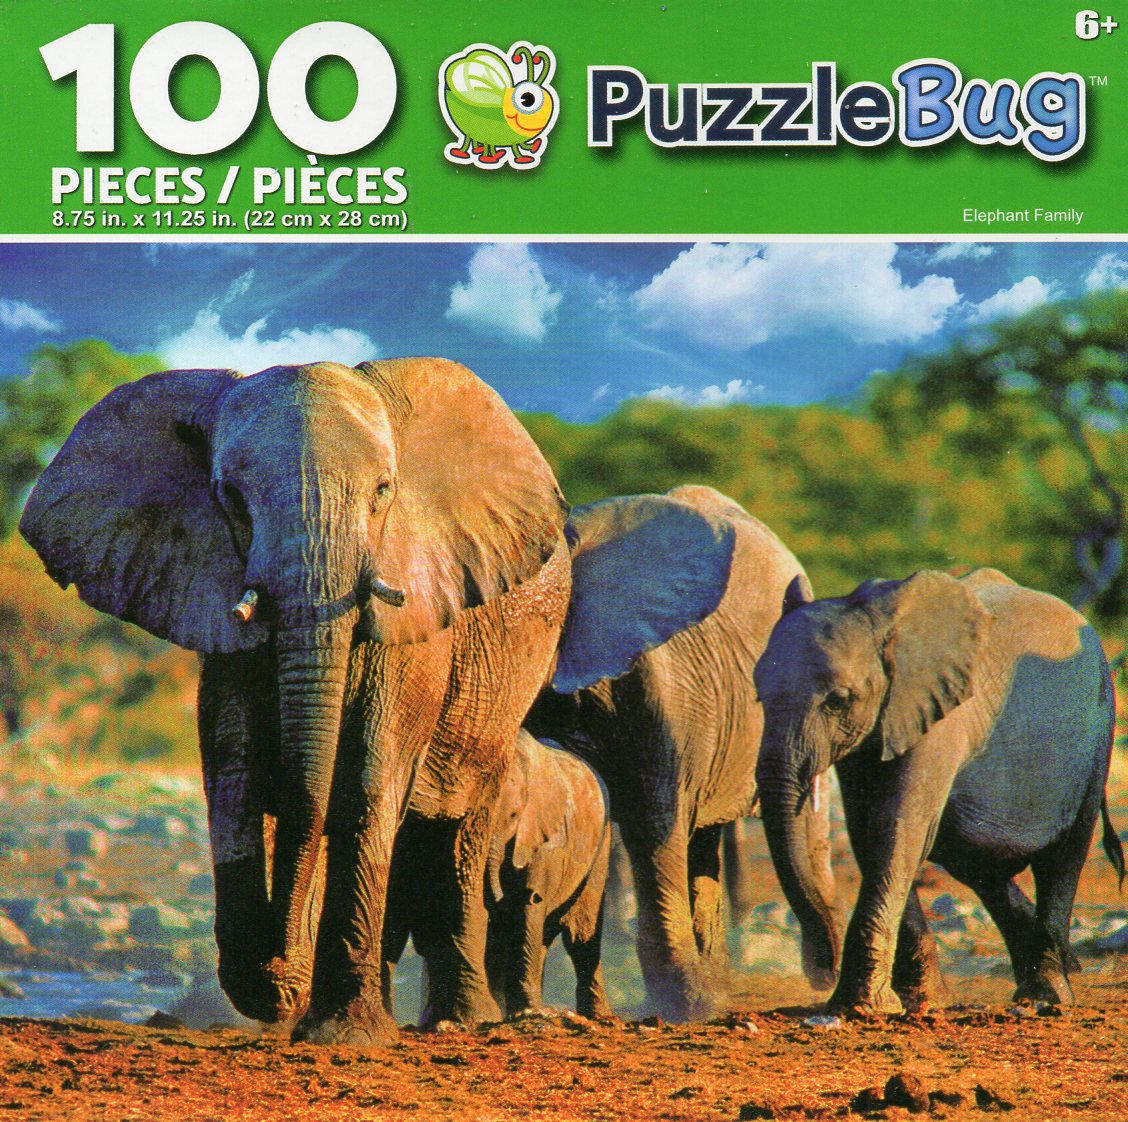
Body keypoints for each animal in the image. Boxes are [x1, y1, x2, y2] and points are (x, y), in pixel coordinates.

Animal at [19, 357, 571, 1045]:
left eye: (383, 491)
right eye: (230, 498)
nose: (283, 972)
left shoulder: (417, 612)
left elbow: (366, 780)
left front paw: (342, 1034)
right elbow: (232, 769)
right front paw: (276, 991)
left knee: (456, 836)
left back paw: (452, 1022)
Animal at [753, 566, 1126, 1016]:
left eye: (838, 701)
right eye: (758, 696)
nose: (821, 969)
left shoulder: (942, 717)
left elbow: (895, 828)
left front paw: (861, 1007)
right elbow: (870, 833)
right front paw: (918, 1001)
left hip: (1098, 733)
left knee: (1063, 858)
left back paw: (1046, 994)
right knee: (978, 866)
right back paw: (1060, 969)